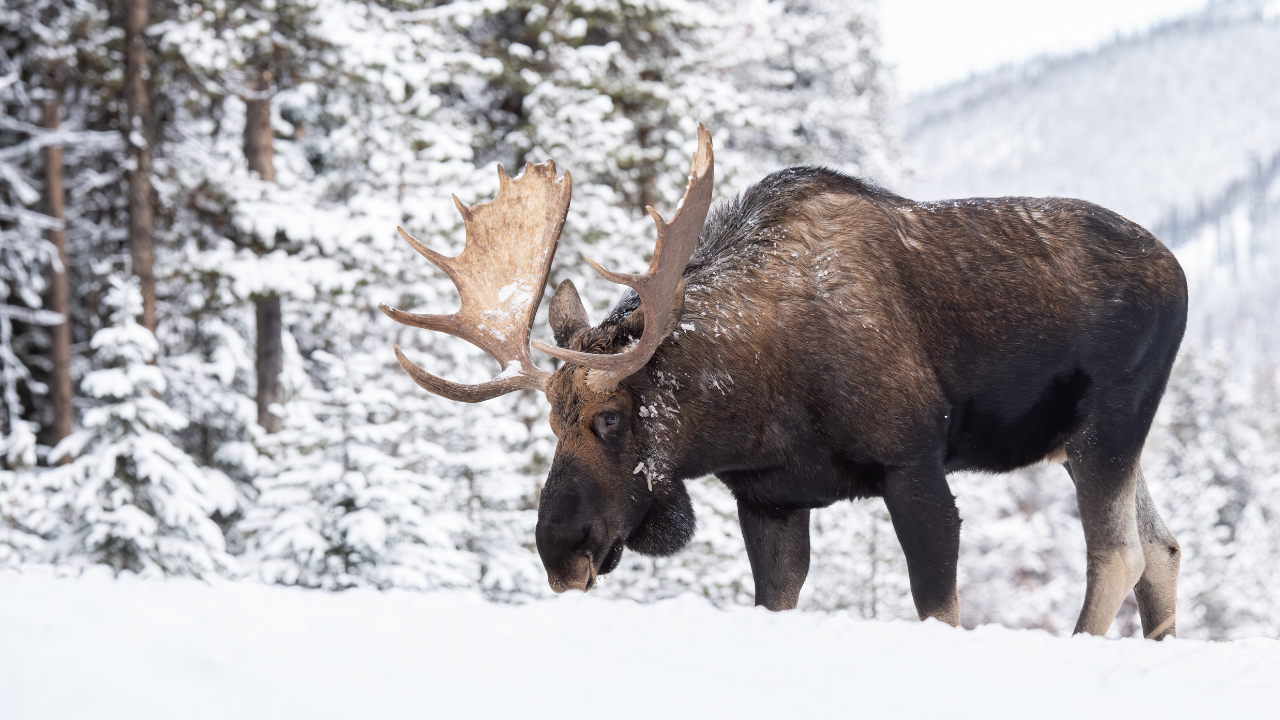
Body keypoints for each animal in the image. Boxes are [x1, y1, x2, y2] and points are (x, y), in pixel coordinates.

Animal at [380, 124, 1187, 639]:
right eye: (552, 422)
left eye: (610, 419)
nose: (560, 548)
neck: (752, 406)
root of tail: (1179, 272)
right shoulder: (768, 501)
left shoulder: (914, 465)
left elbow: (938, 608)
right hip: (1088, 442)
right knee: (1164, 549)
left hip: (1110, 422)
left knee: (1119, 555)